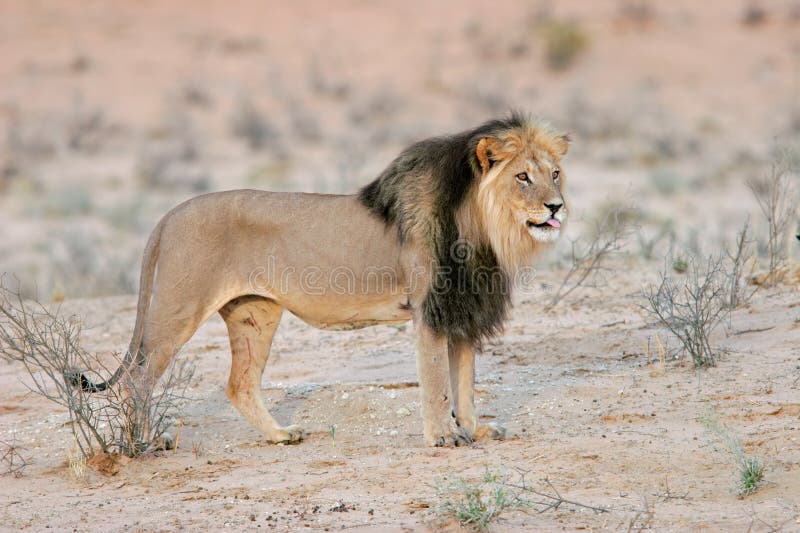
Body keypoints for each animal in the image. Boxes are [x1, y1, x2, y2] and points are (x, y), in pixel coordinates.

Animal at [73, 112, 570, 447]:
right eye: (522, 177)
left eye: (555, 173)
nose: (557, 206)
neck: (485, 230)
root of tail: (168, 215)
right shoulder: (430, 309)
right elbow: (435, 380)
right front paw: (442, 437)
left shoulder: (462, 310)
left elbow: (464, 380)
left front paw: (473, 429)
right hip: (178, 309)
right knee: (139, 379)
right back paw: (144, 444)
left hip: (255, 314)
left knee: (239, 384)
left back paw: (280, 435)